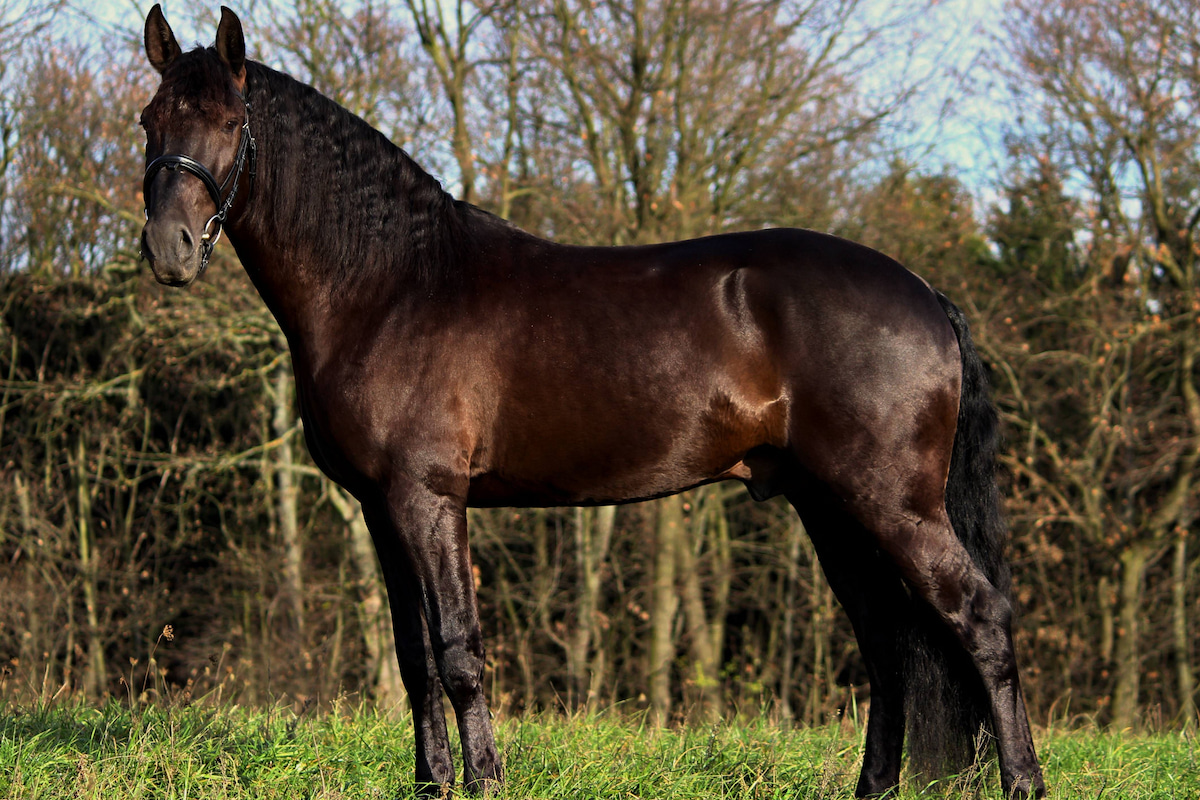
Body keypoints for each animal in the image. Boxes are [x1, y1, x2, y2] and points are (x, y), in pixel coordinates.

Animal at [138, 5, 1044, 797]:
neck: (390, 285)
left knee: (981, 621)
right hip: (832, 510)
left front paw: (487, 780)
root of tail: (925, 294)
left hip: (894, 505)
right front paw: (434, 784)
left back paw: (1023, 782)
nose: (168, 250)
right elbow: (413, 661)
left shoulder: (430, 499)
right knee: (888, 649)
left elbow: (458, 652)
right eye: (149, 120)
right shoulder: (379, 508)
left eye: (229, 120)